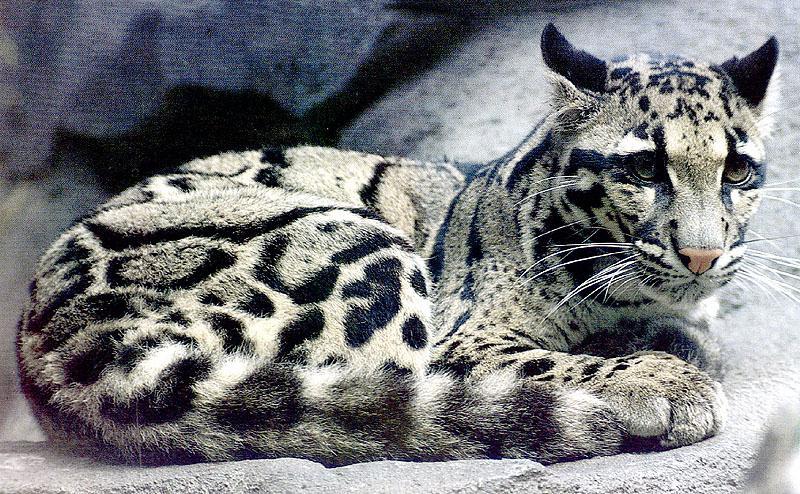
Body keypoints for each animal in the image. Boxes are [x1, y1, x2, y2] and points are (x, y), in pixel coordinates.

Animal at [16, 24, 779, 465]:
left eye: (737, 170)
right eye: (645, 169)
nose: (704, 255)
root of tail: (53, 343)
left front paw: (675, 344)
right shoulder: (468, 334)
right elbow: (543, 359)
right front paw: (662, 379)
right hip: (356, 247)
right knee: (384, 395)